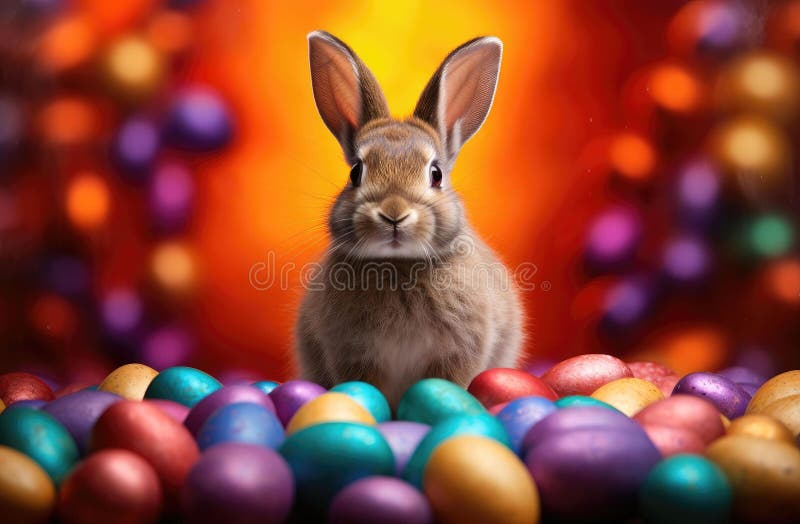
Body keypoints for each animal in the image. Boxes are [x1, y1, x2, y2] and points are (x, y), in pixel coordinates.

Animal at [296, 30, 523, 406]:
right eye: (356, 173)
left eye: (436, 174)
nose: (393, 214)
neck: (399, 264)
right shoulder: (353, 354)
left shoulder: (458, 353)